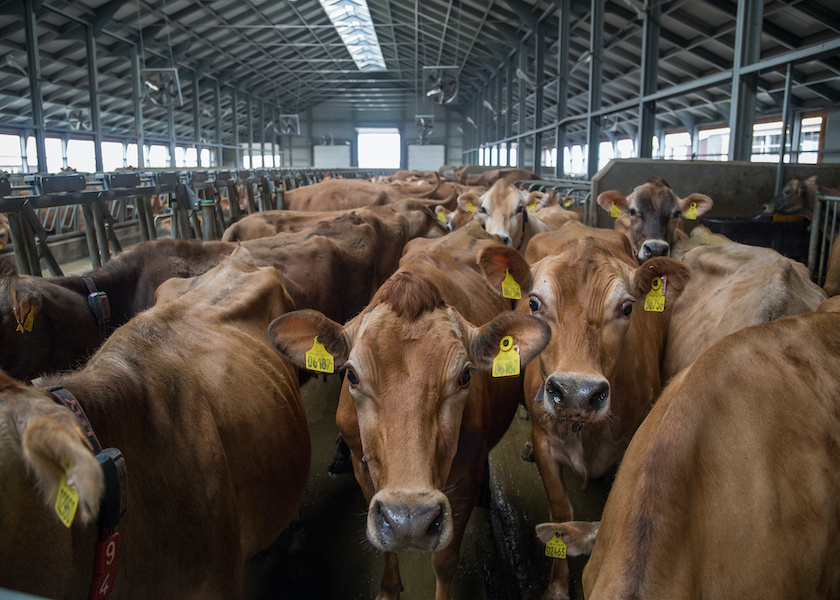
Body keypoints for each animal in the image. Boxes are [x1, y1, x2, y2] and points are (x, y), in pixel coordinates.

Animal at [267, 223, 551, 600]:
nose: (410, 521)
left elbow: (445, 559)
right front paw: (389, 588)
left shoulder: (465, 475)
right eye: (351, 375)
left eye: (465, 376)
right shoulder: (361, 465)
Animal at [519, 221, 690, 600]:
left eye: (627, 308)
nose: (576, 394)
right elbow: (560, 513)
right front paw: (557, 586)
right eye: (534, 303)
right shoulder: (544, 440)